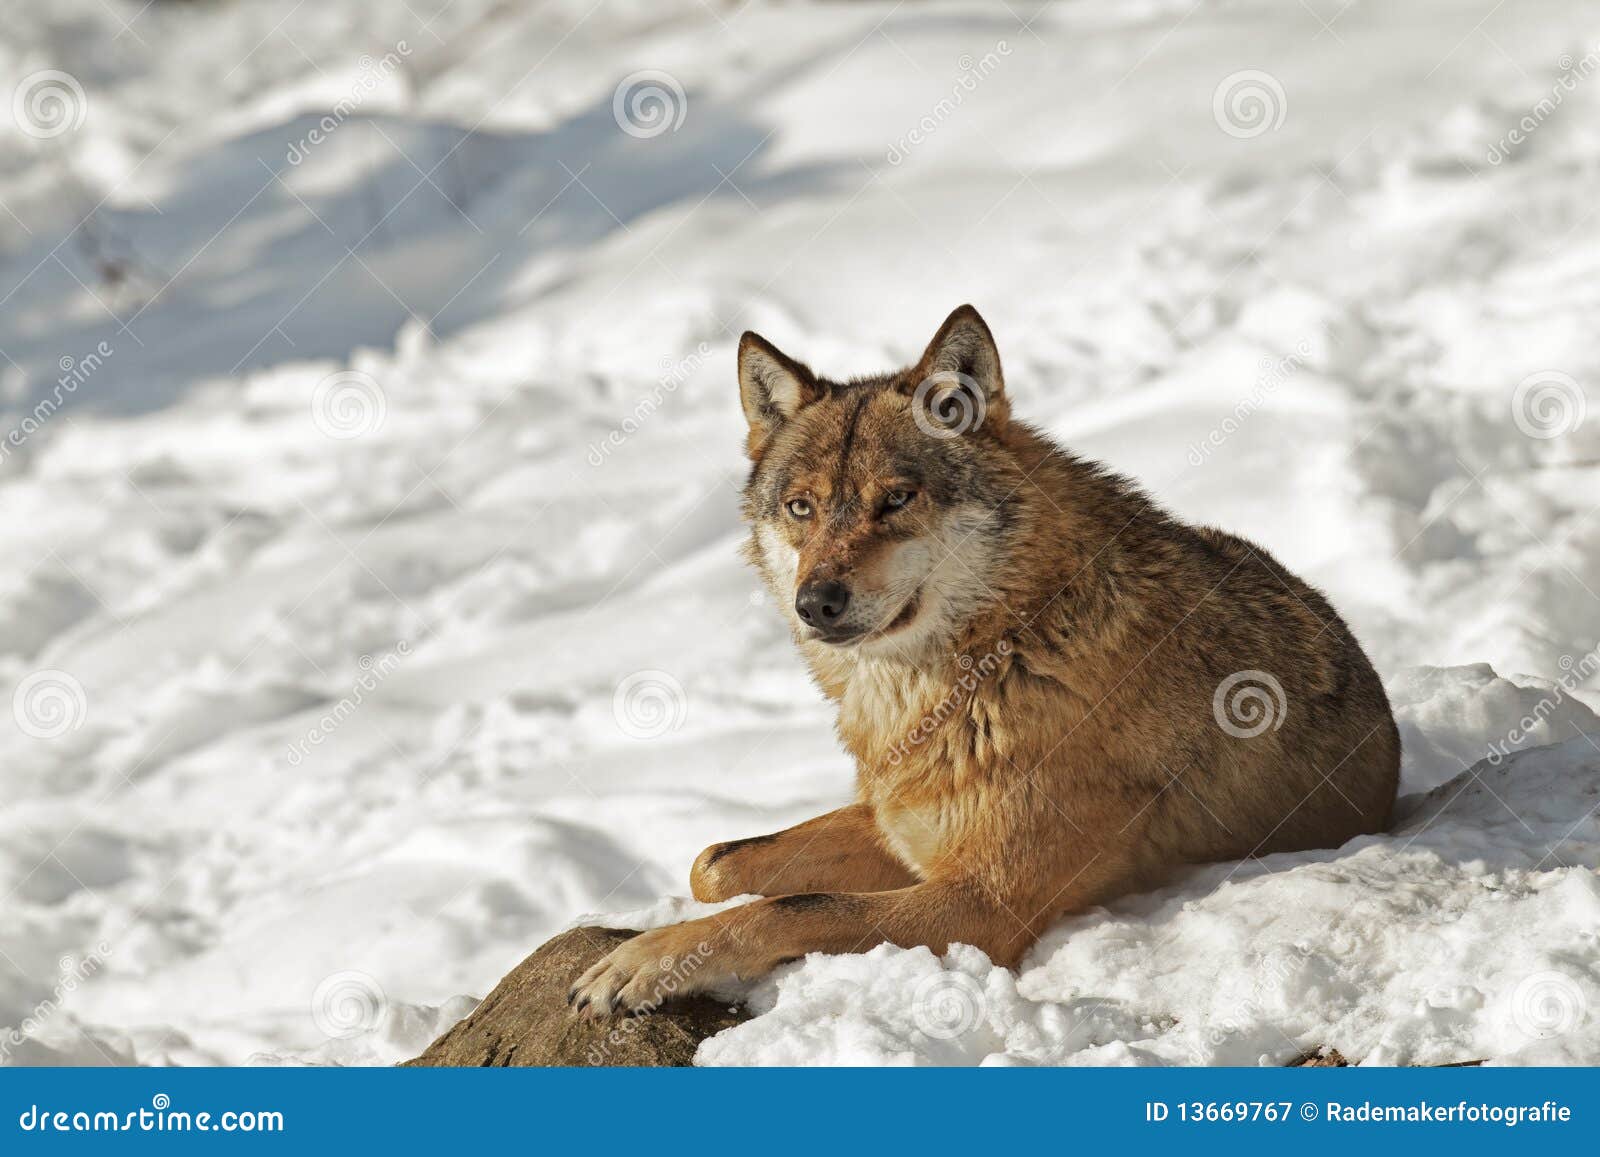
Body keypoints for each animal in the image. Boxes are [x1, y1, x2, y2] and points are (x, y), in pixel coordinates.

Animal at [569, 305, 1399, 1017]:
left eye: (896, 499)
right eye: (802, 507)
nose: (817, 601)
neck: (994, 656)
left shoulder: (983, 903)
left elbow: (787, 905)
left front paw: (637, 962)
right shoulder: (898, 829)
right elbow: (712, 859)